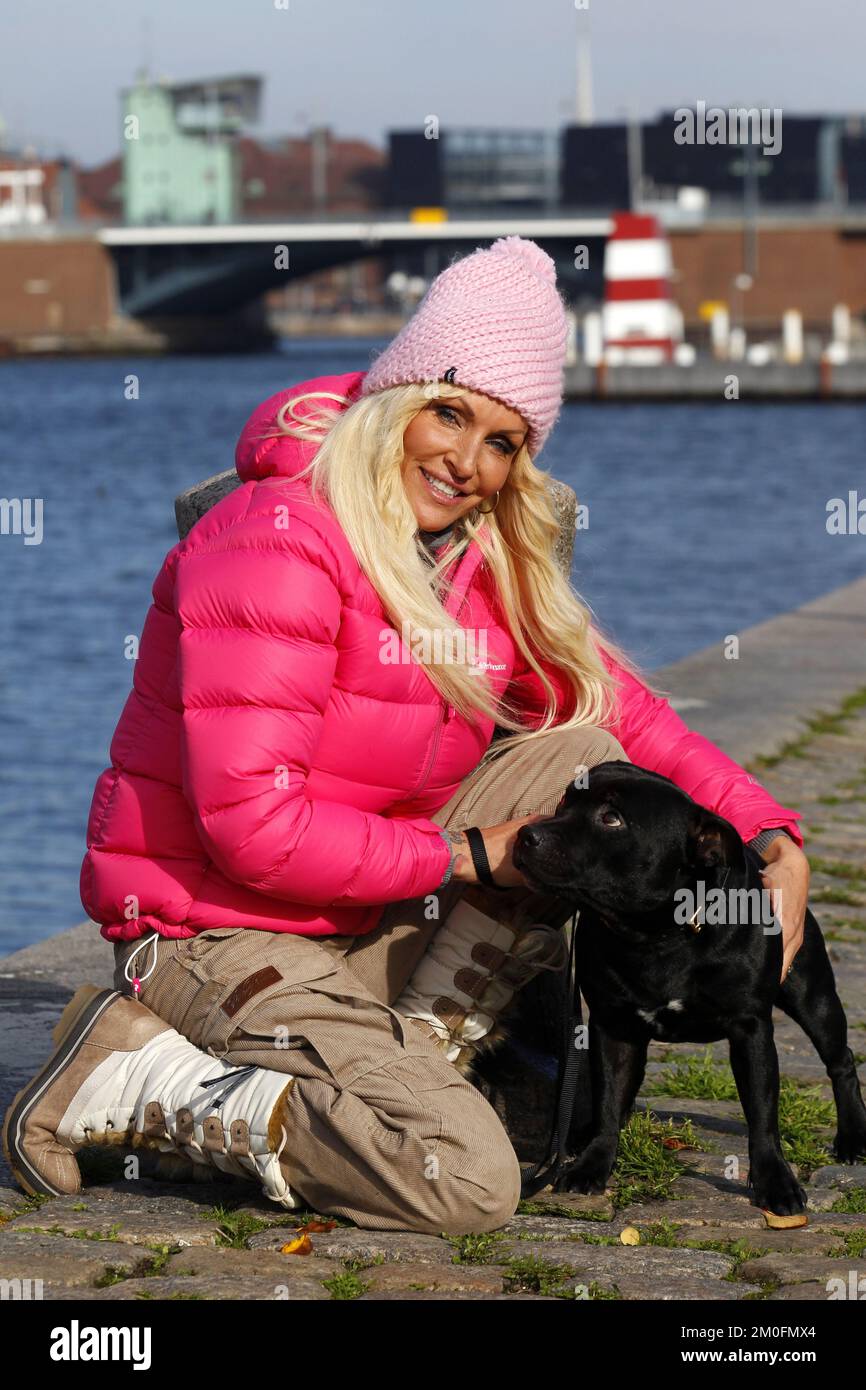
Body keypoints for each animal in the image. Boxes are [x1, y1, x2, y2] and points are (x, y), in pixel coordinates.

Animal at [514, 761, 866, 1217]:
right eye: (564, 802)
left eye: (612, 818)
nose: (526, 834)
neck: (658, 934)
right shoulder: (612, 1027)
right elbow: (609, 1100)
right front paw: (593, 1163)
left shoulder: (751, 1030)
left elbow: (763, 1114)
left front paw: (775, 1182)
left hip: (814, 997)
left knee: (841, 1061)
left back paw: (854, 1138)